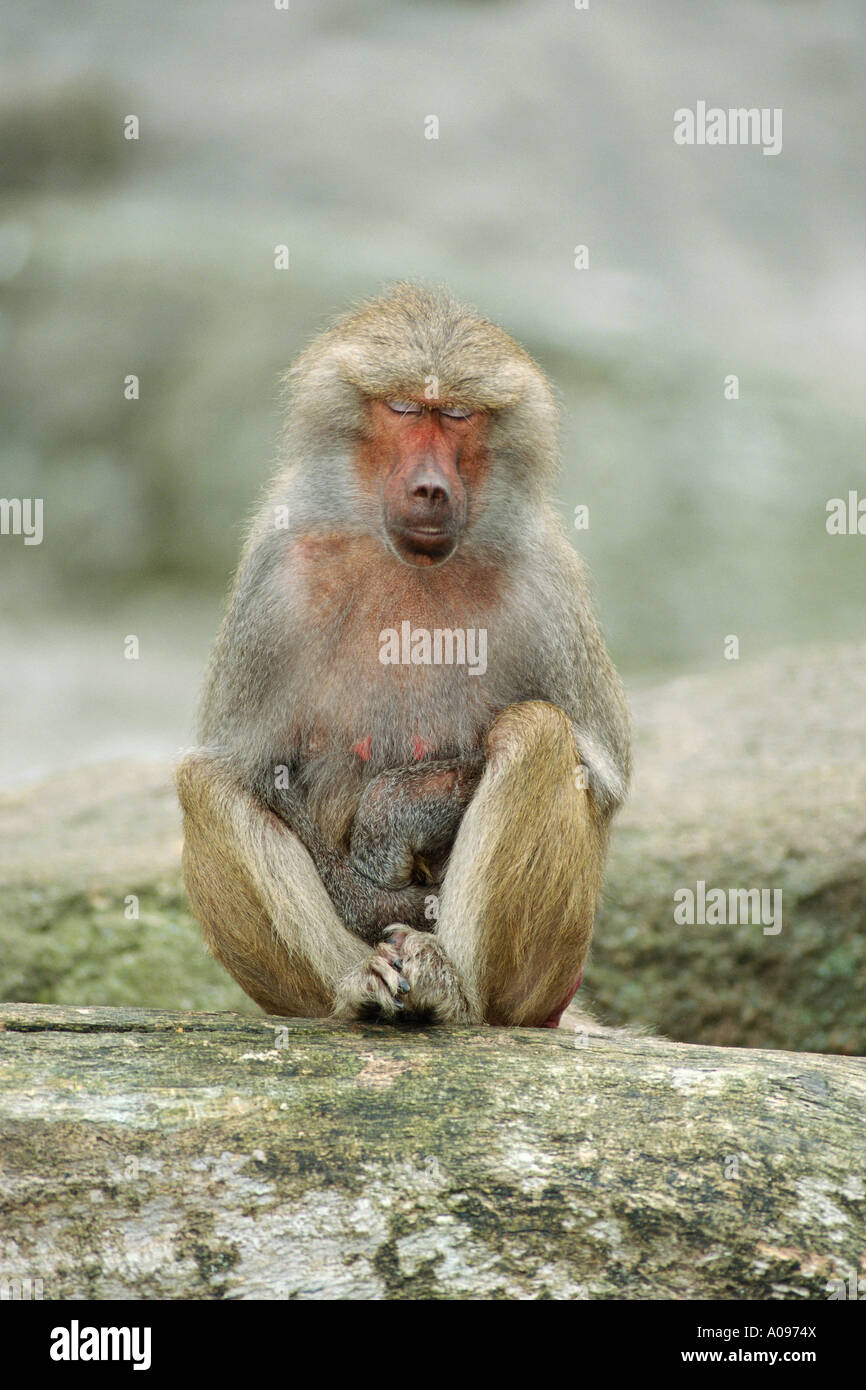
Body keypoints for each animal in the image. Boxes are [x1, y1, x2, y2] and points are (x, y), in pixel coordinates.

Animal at [176, 283, 631, 1028]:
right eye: (403, 409)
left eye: (457, 415)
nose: (430, 489)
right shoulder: (272, 577)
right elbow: (249, 773)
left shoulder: (548, 583)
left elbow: (602, 774)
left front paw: (392, 818)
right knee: (205, 783)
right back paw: (357, 988)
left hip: (544, 982)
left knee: (535, 731)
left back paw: (451, 989)